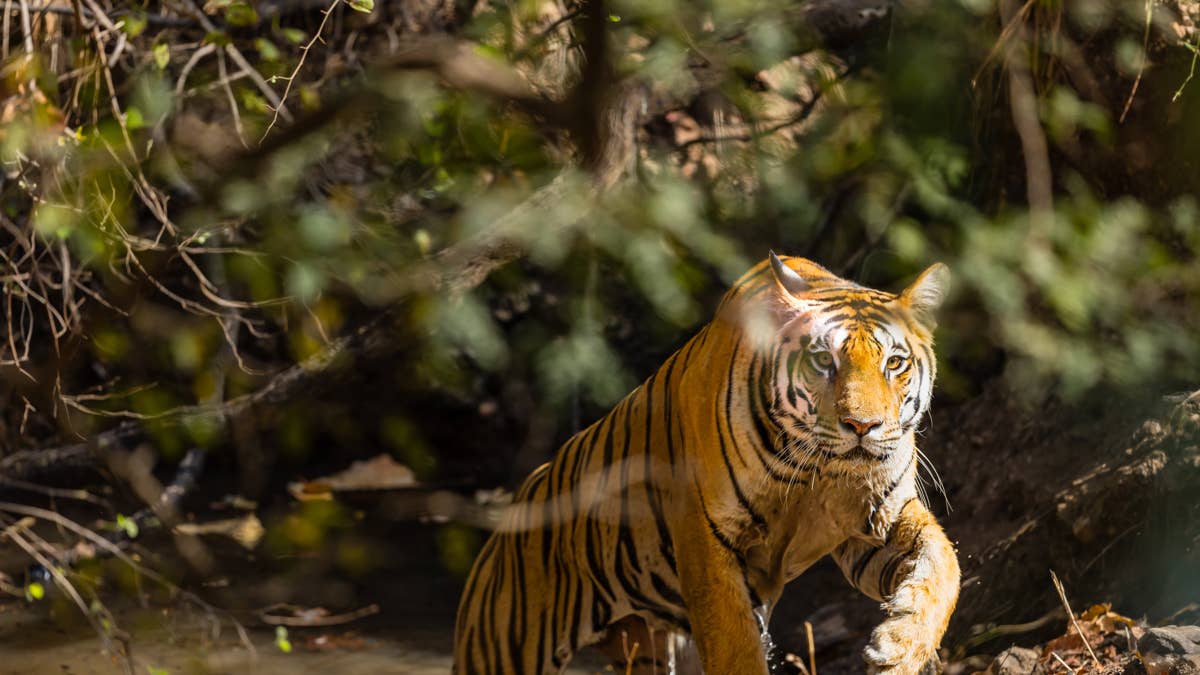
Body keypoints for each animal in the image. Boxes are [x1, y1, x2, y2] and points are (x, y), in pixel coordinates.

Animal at [452, 253, 961, 675]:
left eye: (894, 363)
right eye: (822, 360)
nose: (862, 425)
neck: (818, 473)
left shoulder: (875, 522)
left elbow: (944, 563)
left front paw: (898, 647)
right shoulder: (708, 539)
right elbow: (735, 648)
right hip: (502, 646)